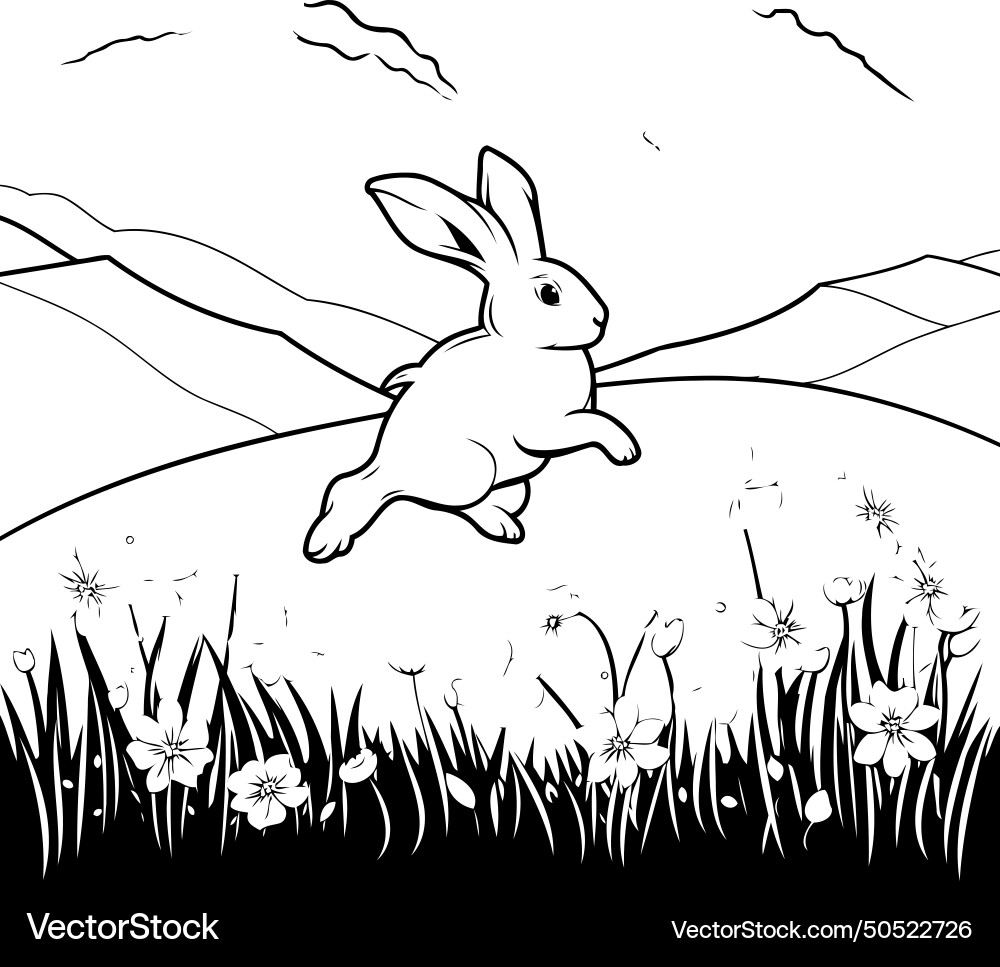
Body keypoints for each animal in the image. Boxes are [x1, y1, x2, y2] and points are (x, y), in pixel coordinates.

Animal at [303, 147, 640, 563]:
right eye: (549, 294)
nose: (600, 319)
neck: (527, 348)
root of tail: (389, 473)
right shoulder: (540, 427)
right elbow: (589, 423)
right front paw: (624, 447)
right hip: (475, 466)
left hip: (513, 484)